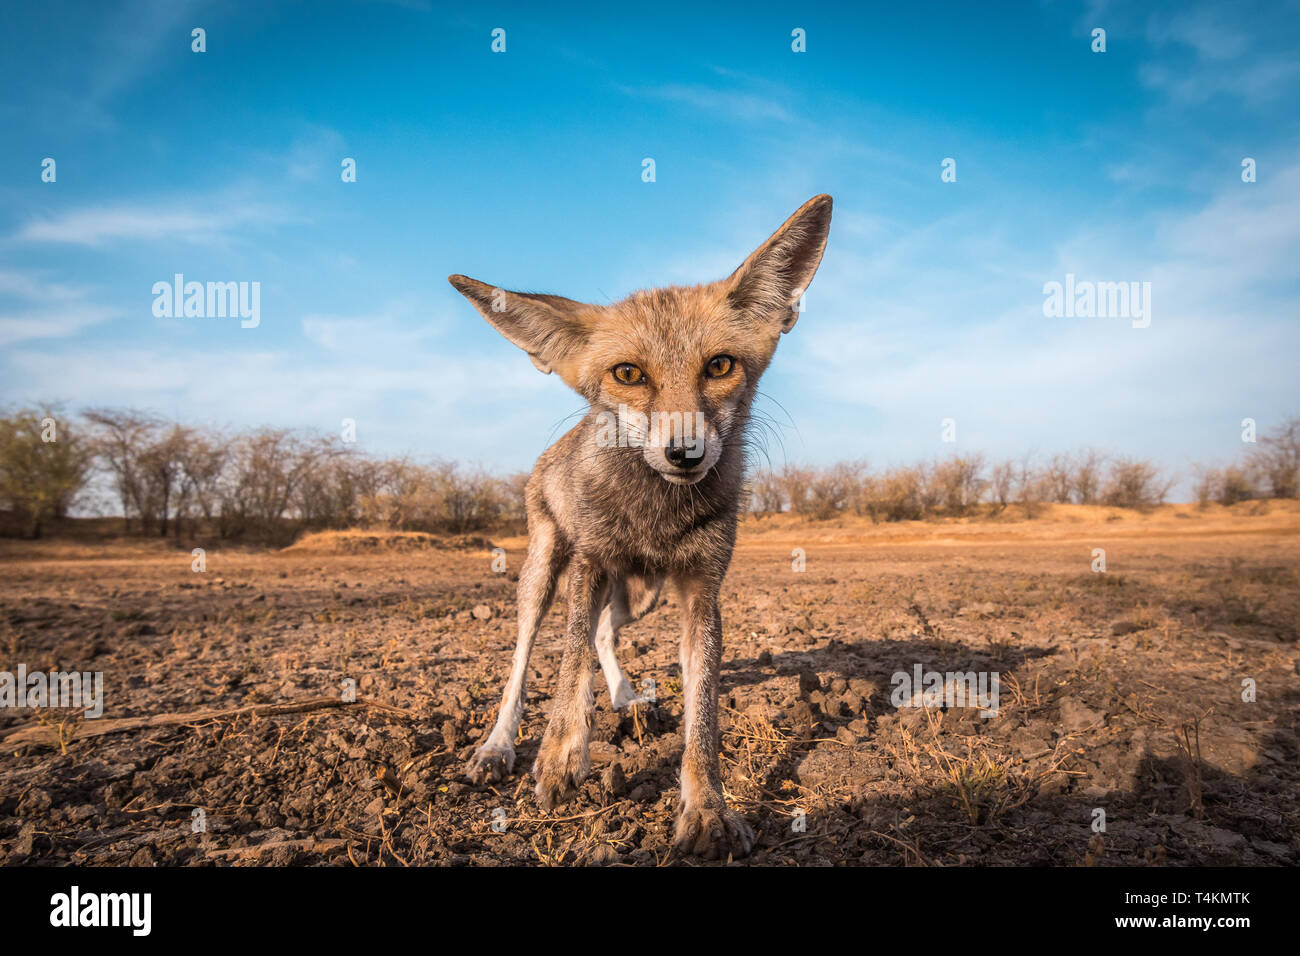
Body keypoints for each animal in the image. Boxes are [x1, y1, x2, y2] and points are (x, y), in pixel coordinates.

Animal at [448, 194, 832, 859]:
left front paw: (706, 811)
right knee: (526, 657)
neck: (656, 515)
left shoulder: (701, 590)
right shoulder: (590, 562)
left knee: (607, 632)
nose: (684, 453)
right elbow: (569, 665)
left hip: (643, 594)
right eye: (628, 374)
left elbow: (702, 716)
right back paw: (498, 747)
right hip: (545, 573)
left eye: (720, 366)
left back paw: (629, 702)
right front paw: (560, 759)